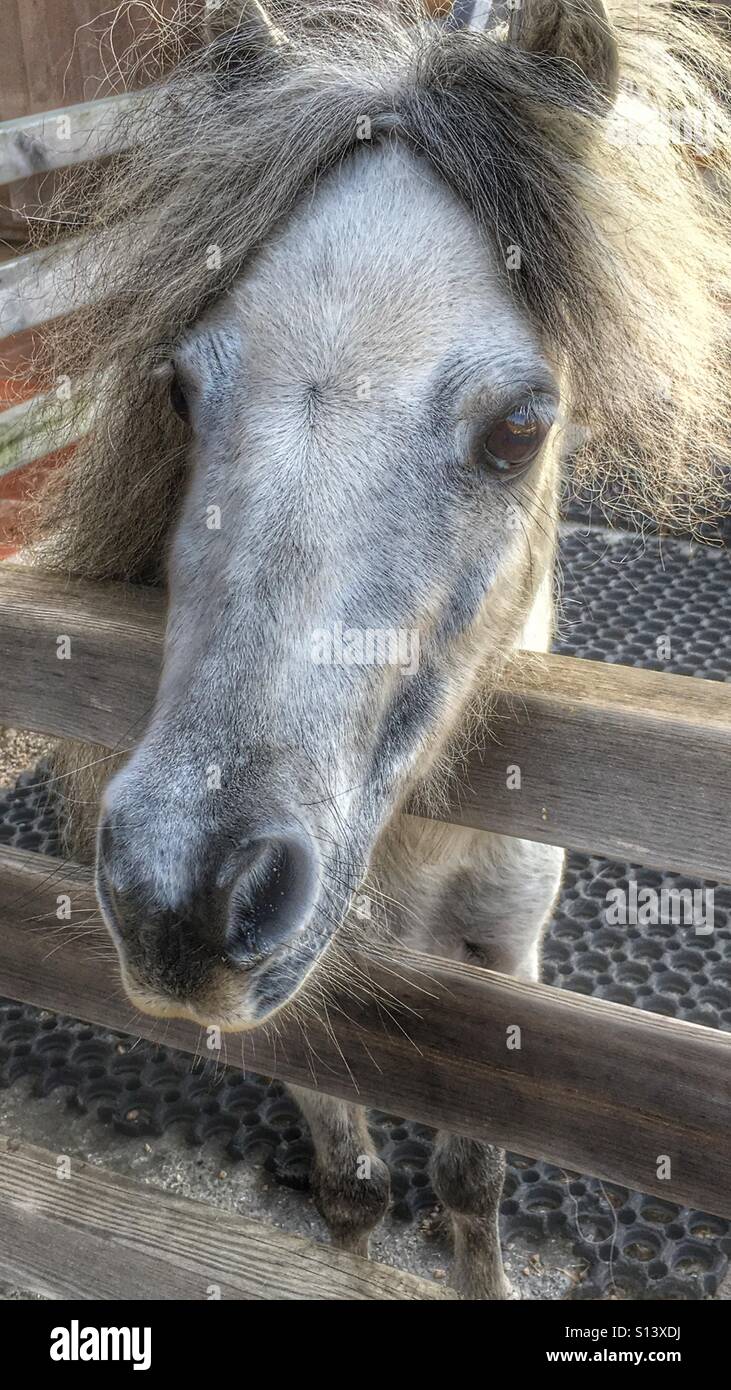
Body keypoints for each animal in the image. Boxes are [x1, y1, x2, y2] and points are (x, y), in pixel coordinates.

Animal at [27, 0, 731, 1298]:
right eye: (179, 391)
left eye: (521, 427)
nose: (182, 890)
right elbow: (352, 1188)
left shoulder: (506, 962)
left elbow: (470, 1178)